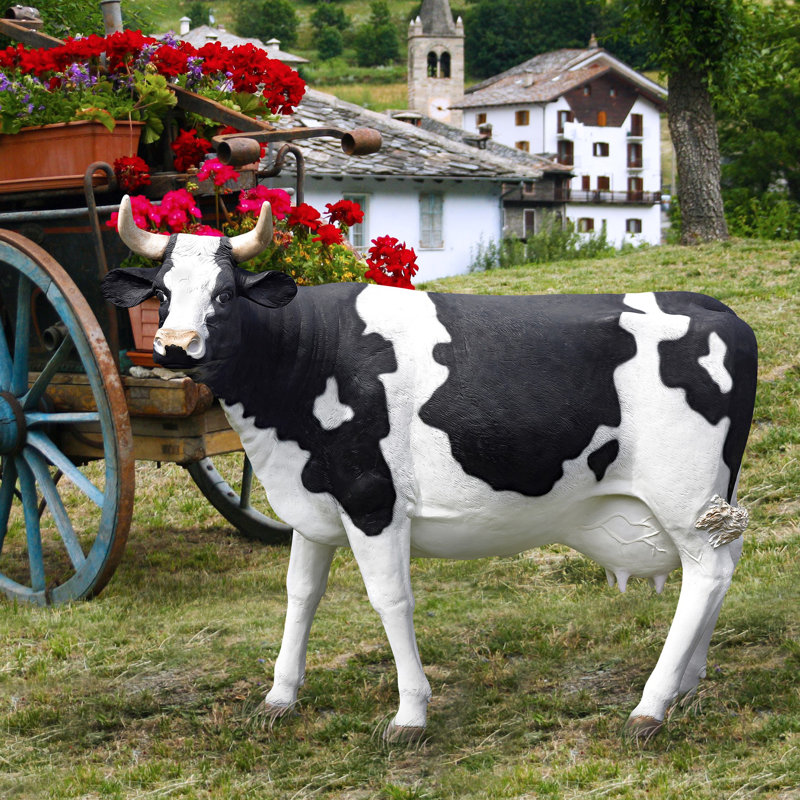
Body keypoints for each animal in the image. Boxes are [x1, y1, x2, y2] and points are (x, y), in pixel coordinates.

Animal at [102, 194, 758, 742]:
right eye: (162, 292)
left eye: (223, 294)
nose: (175, 345)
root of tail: (716, 308)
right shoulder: (314, 502)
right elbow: (300, 594)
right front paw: (279, 696)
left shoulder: (372, 499)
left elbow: (391, 599)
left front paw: (410, 713)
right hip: (712, 502)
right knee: (723, 569)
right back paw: (688, 684)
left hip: (685, 498)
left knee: (705, 576)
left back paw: (651, 704)